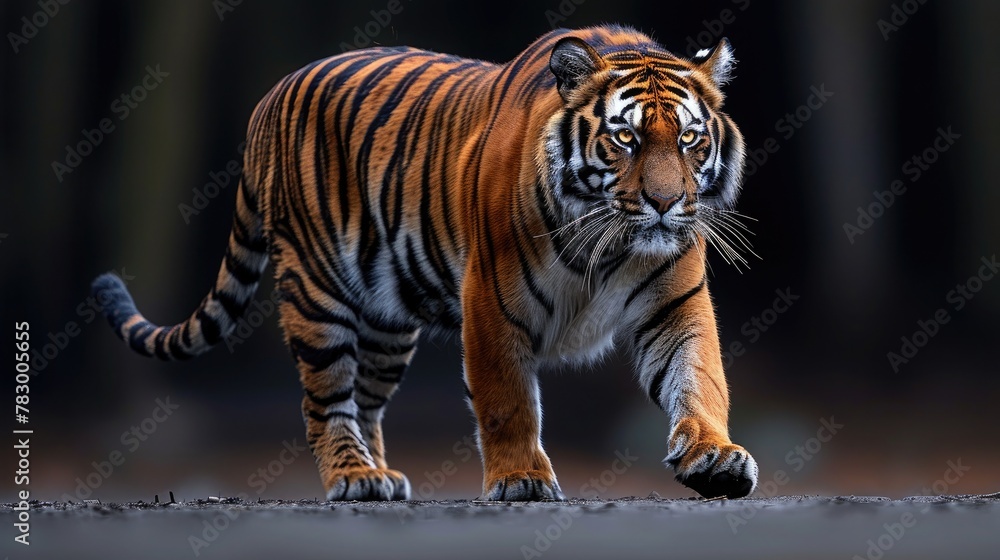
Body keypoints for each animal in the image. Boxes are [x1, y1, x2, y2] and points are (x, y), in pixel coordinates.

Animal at [92, 24, 759, 501]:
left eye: (690, 139)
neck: (609, 243)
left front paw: (715, 458)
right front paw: (520, 479)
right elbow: (507, 398)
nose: (666, 204)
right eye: (625, 139)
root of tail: (270, 97)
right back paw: (353, 478)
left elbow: (699, 377)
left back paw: (382, 475)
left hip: (387, 325)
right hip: (316, 291)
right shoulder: (492, 300)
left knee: (366, 398)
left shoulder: (675, 302)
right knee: (325, 400)